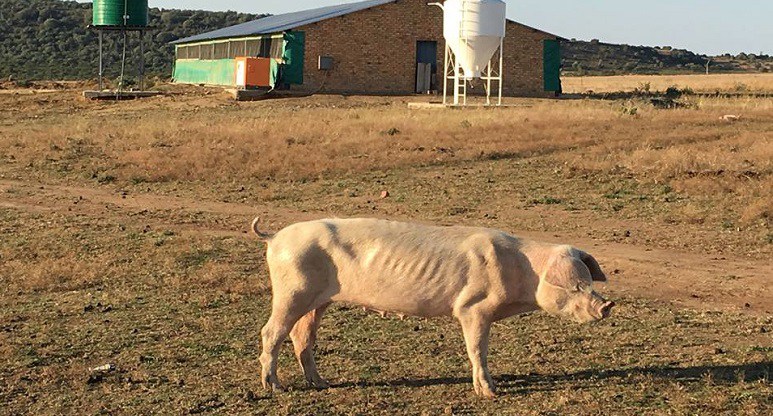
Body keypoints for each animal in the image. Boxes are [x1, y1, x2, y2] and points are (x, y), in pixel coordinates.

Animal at [252, 218, 614, 398]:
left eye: (589, 281)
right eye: (573, 285)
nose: (607, 305)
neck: (524, 273)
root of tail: (275, 237)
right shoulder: (472, 307)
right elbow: (476, 348)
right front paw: (490, 393)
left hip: (319, 300)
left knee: (302, 337)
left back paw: (321, 384)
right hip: (291, 291)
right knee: (271, 332)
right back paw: (276, 388)